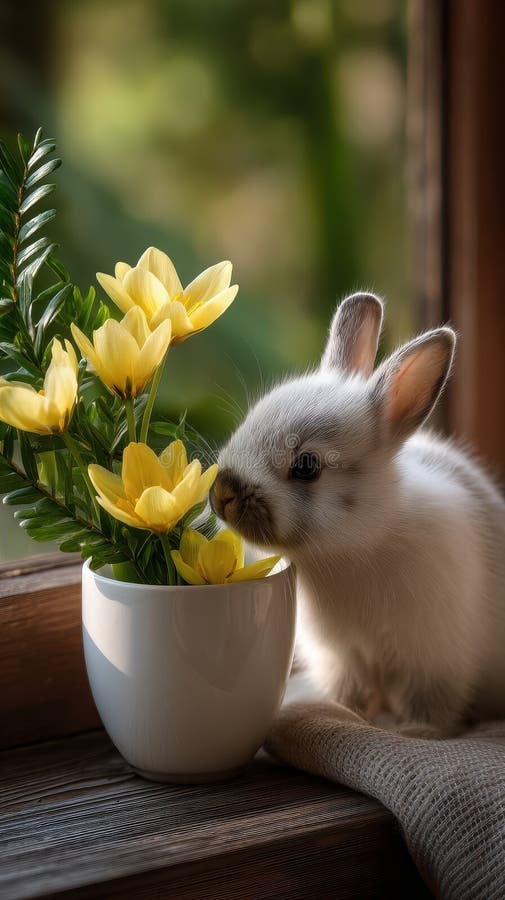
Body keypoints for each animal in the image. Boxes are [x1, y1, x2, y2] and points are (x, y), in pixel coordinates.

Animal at [211, 292, 505, 734]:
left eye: (307, 466)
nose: (222, 493)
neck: (354, 548)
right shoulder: (342, 656)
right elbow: (350, 692)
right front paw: (347, 713)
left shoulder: (436, 659)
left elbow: (430, 703)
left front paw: (416, 732)